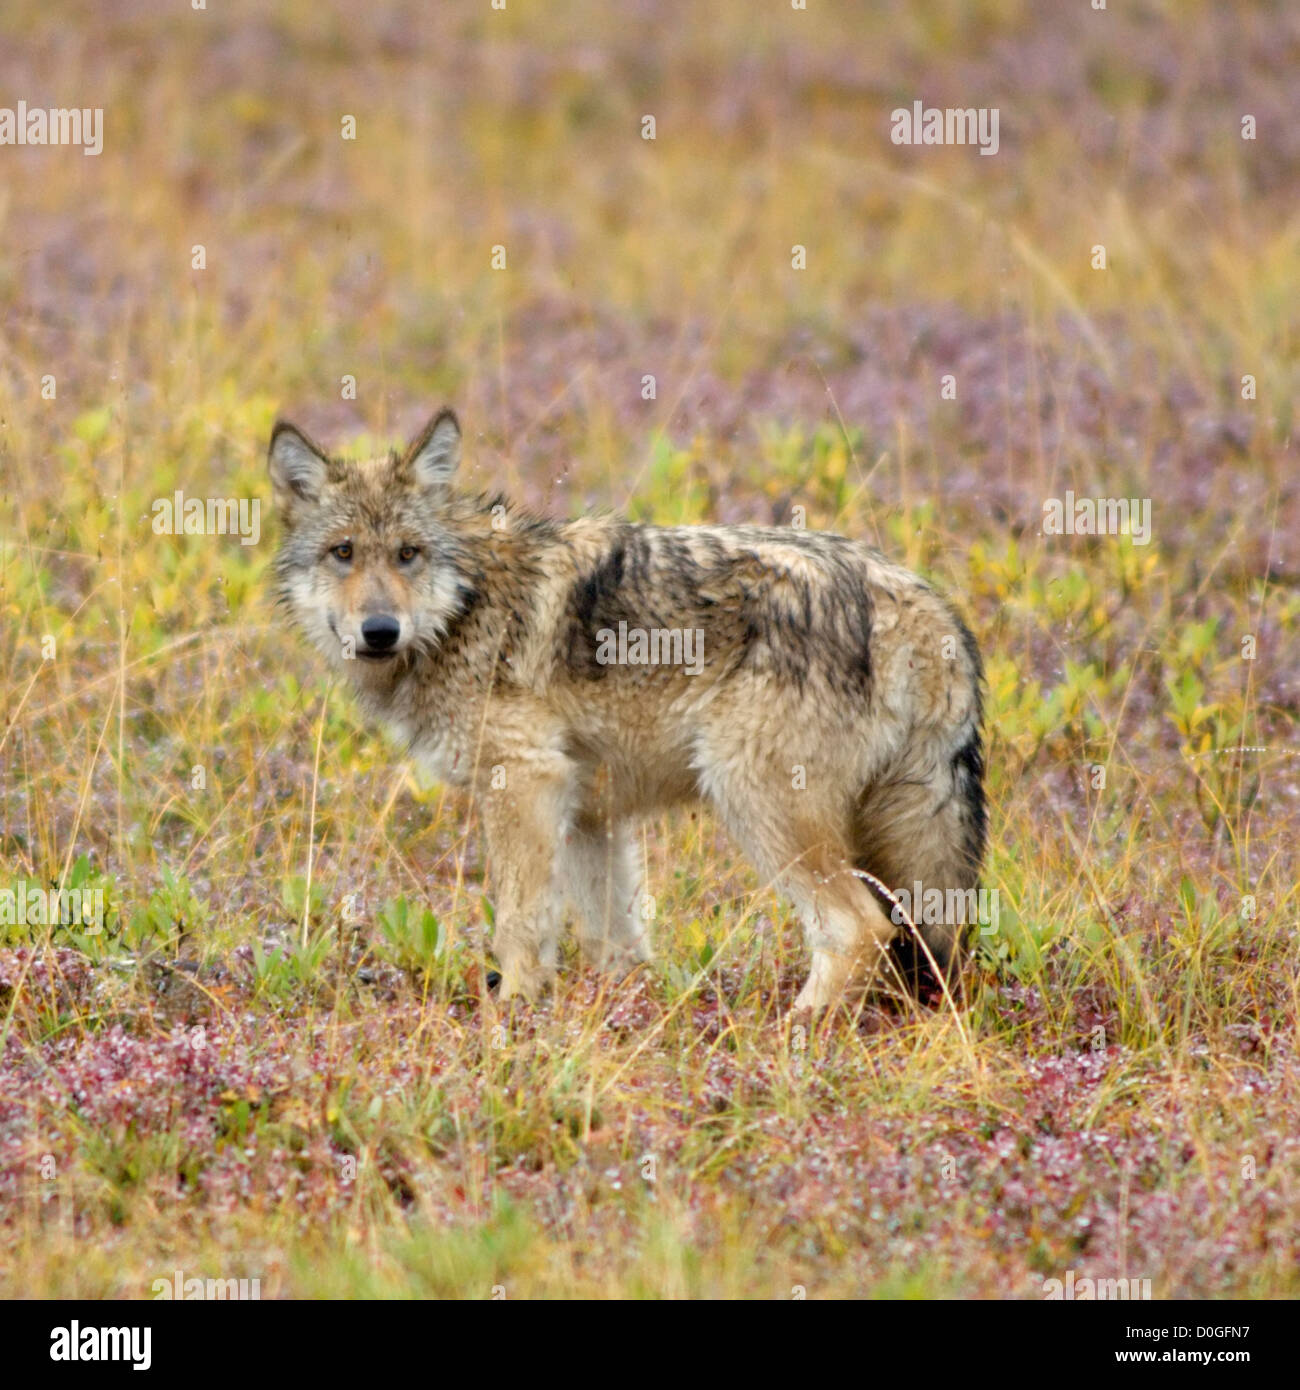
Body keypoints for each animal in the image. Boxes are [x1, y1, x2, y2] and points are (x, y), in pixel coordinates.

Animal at [268, 409, 986, 1014]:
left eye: (407, 553)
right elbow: (616, 946)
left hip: (754, 801)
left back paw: (795, 1035)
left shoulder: (524, 782)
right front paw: (622, 1015)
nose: (380, 630)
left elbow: (521, 925)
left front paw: (510, 1023)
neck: (465, 607)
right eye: (343, 552)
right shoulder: (591, 816)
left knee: (858, 928)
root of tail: (920, 602)